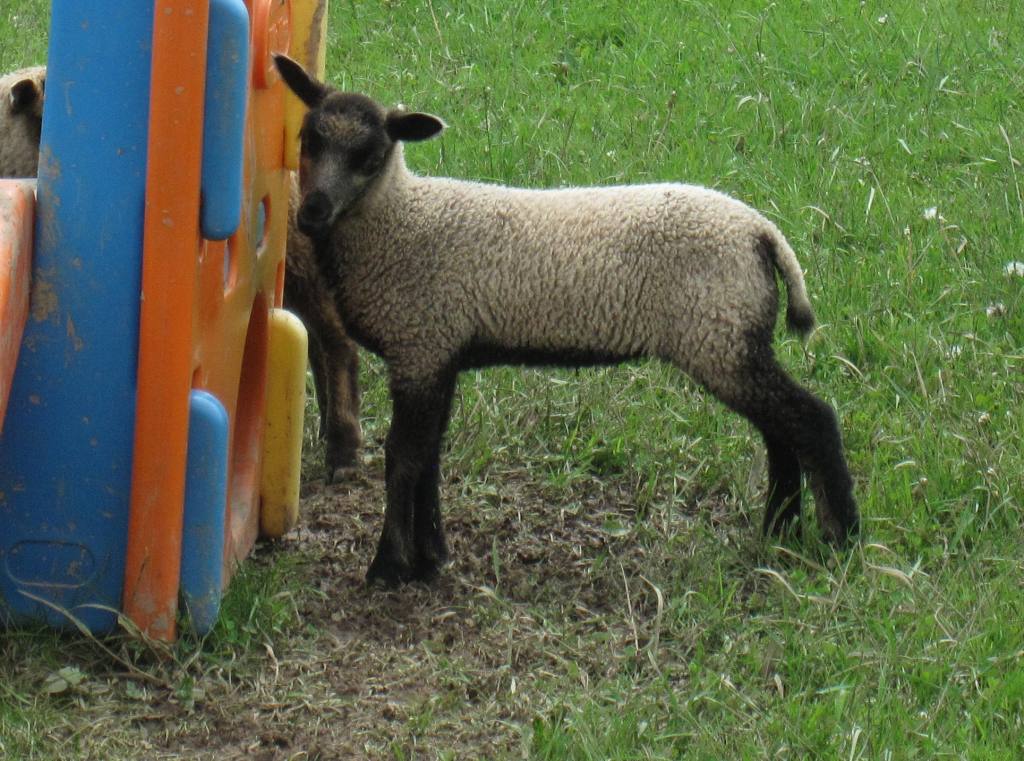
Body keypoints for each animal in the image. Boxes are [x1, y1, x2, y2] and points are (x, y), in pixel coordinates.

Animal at [274, 54, 860, 586]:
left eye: (370, 155)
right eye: (308, 138)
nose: (311, 212)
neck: (399, 220)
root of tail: (761, 232)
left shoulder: (419, 346)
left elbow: (404, 458)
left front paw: (389, 567)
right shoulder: (438, 353)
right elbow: (431, 458)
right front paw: (431, 555)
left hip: (718, 335)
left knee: (810, 418)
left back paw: (840, 536)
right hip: (732, 338)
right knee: (779, 428)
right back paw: (779, 529)